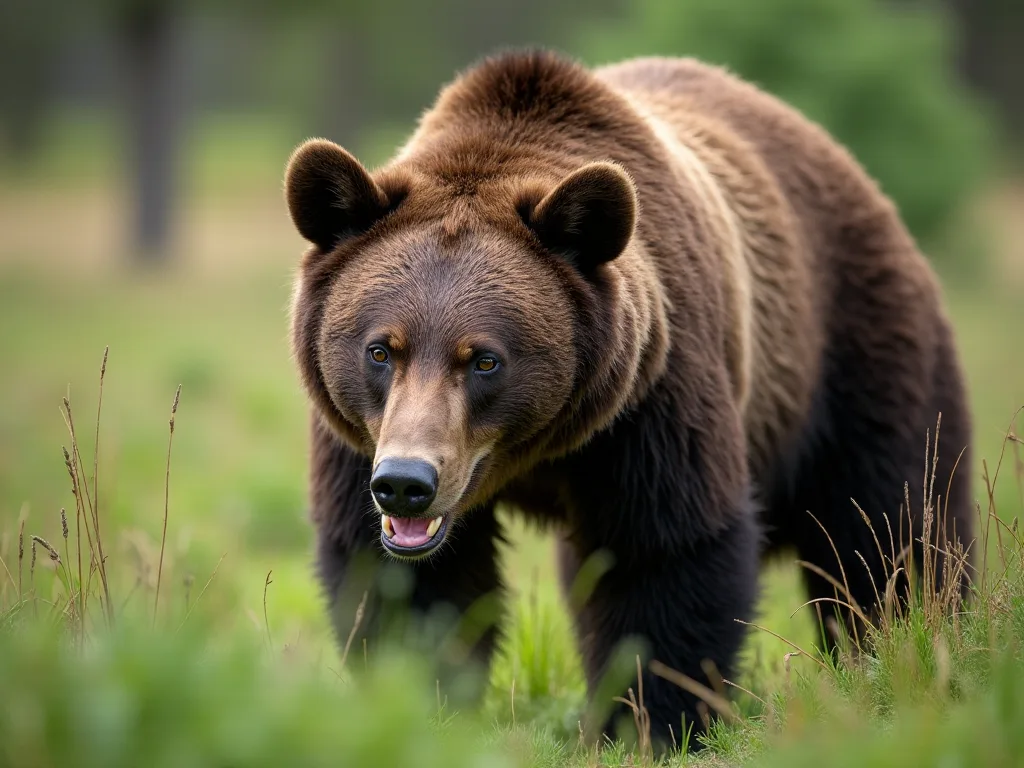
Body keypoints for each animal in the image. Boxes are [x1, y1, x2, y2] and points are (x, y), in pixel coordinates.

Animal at [283, 49, 974, 749]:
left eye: (483, 359)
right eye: (380, 349)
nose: (406, 483)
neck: (540, 451)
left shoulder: (652, 400)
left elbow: (663, 553)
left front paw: (650, 722)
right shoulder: (358, 438)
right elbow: (404, 581)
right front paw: (426, 702)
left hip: (853, 355)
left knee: (889, 531)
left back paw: (908, 649)